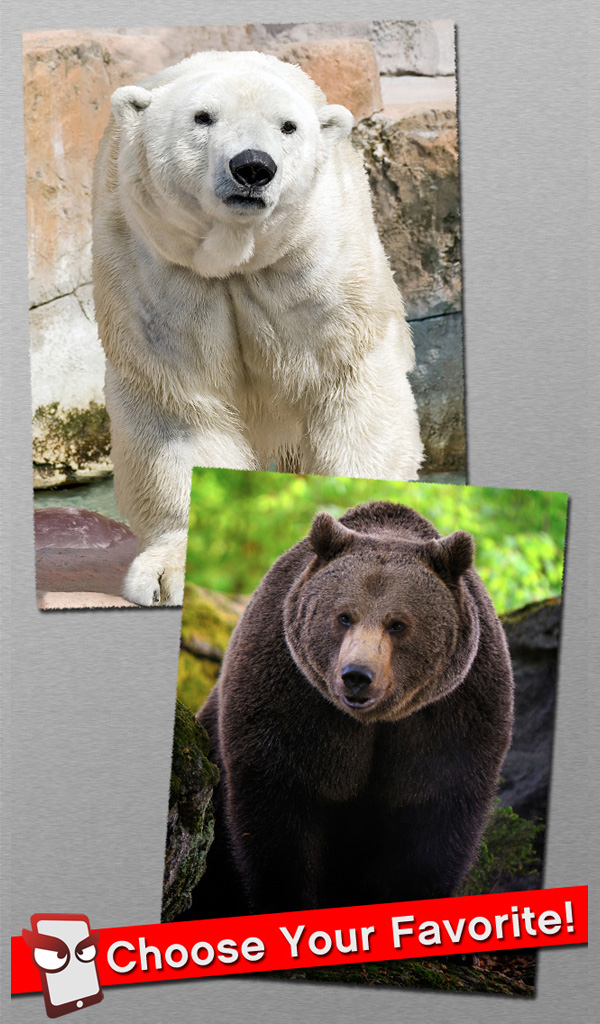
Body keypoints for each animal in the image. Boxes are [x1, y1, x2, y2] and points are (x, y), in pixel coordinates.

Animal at [92, 51, 423, 607]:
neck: (236, 260)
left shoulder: (317, 266)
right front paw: (169, 571)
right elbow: (180, 411)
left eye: (288, 126)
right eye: (203, 117)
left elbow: (351, 386)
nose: (252, 166)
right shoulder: (158, 271)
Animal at [187, 501, 514, 919]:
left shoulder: (453, 711)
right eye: (344, 616)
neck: (374, 721)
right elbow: (279, 813)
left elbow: (436, 814)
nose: (357, 675)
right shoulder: (291, 697)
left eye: (397, 624)